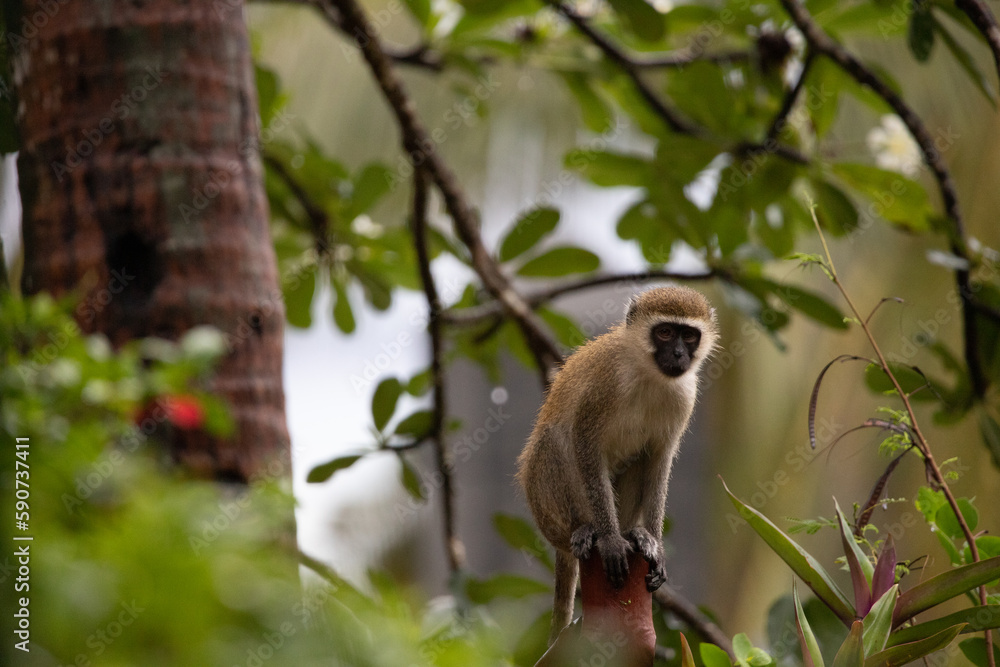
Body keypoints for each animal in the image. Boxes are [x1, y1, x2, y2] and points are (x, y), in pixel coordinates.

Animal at [515, 286, 718, 645]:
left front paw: (655, 545)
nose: (679, 354)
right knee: (554, 439)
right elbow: (585, 444)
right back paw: (585, 530)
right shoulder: (604, 386)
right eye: (665, 333)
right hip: (552, 510)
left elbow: (659, 462)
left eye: (689, 336)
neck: (648, 373)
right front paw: (610, 540)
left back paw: (633, 532)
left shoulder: (684, 398)